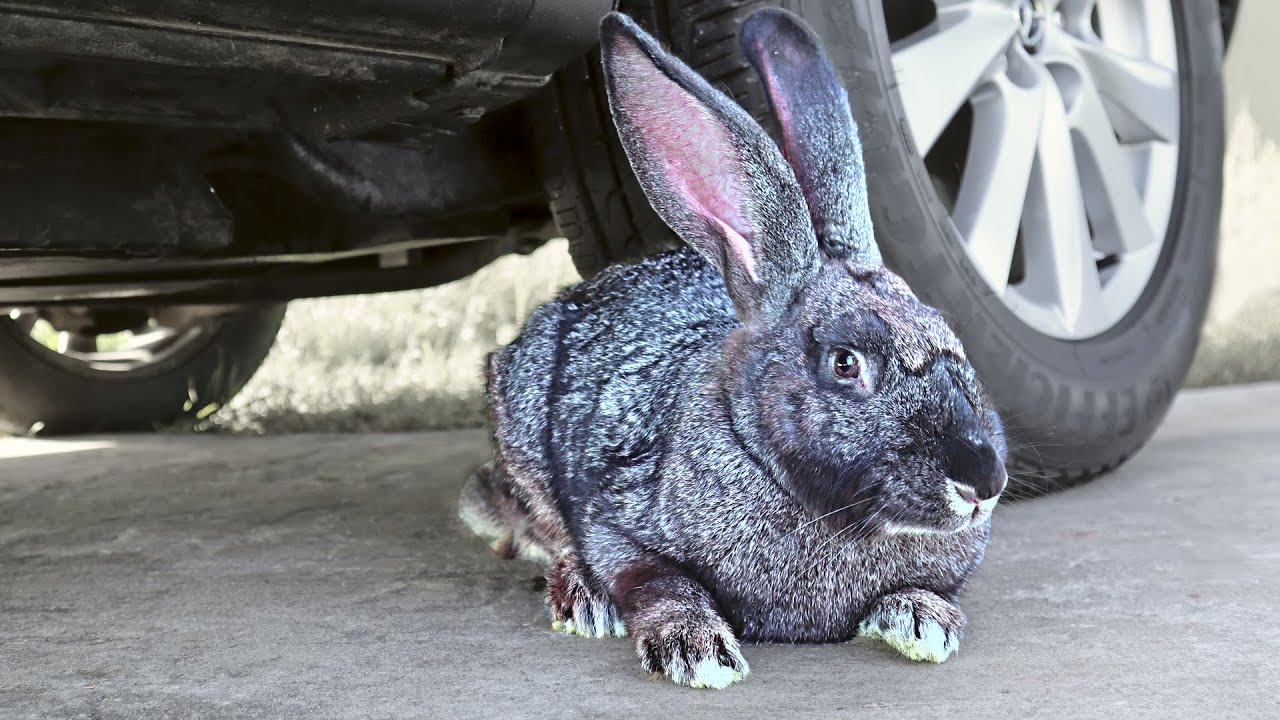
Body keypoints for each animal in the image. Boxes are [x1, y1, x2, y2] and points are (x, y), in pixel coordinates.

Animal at [459, 7, 1008, 689]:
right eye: (845, 363)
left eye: (949, 332)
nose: (983, 481)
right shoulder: (616, 522)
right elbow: (659, 584)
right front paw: (696, 652)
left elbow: (931, 589)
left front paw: (923, 621)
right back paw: (580, 599)